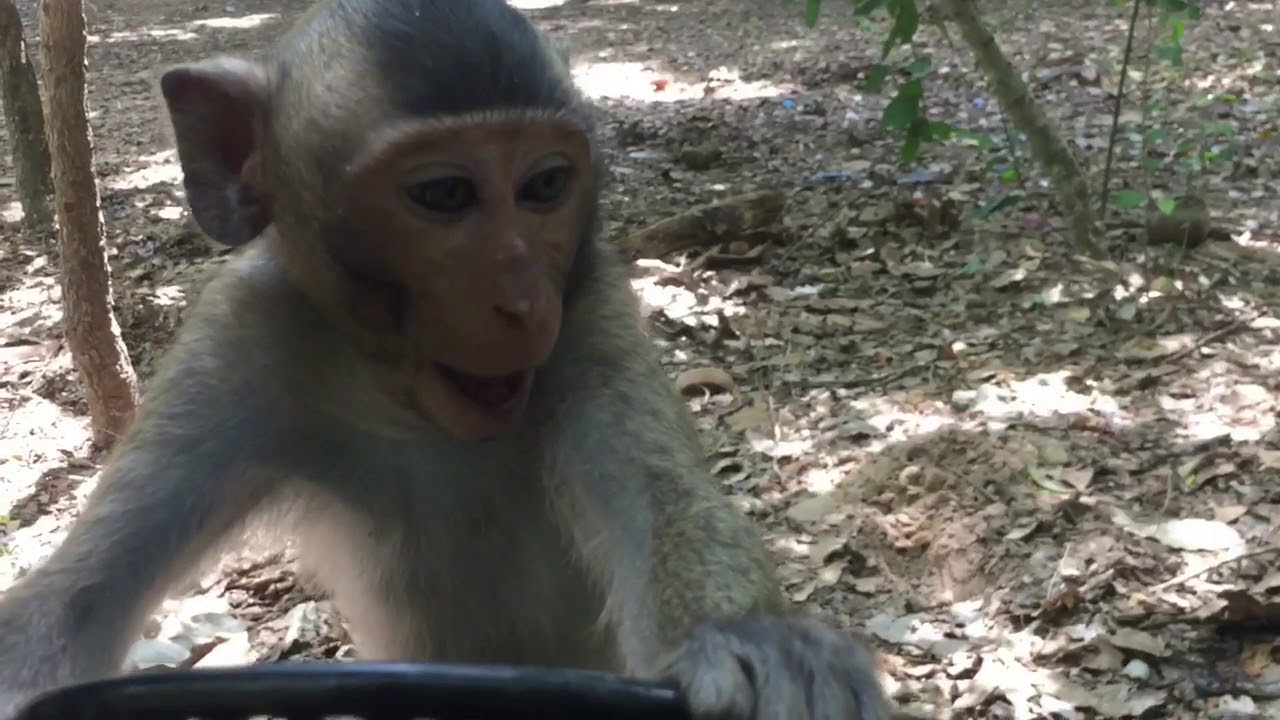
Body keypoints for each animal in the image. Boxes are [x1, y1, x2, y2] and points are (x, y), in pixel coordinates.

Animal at [0, 2, 895, 719]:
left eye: (544, 185)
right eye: (444, 195)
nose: (524, 303)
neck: (401, 395)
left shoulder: (589, 314)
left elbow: (658, 491)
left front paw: (750, 637)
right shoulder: (245, 336)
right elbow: (69, 605)